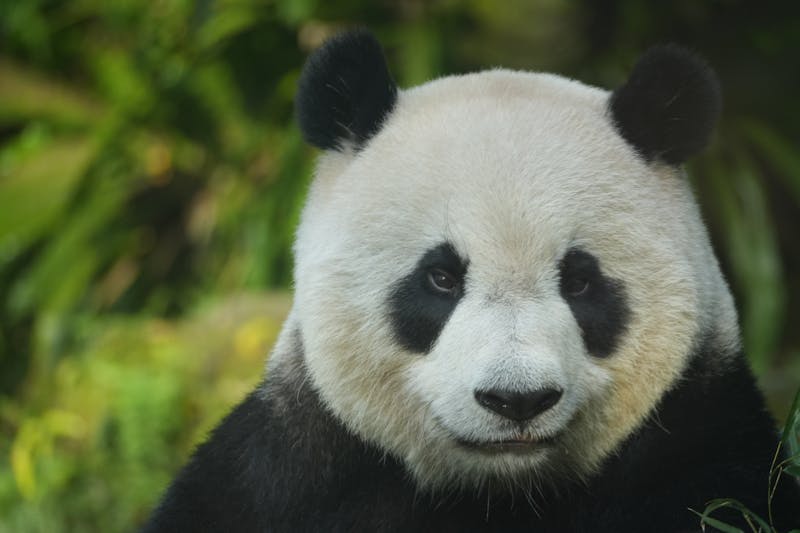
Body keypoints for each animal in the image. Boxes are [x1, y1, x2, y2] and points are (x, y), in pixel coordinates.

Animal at [144, 29, 799, 532]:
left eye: (580, 283)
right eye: (440, 277)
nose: (517, 399)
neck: (500, 491)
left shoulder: (701, 445)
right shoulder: (292, 471)